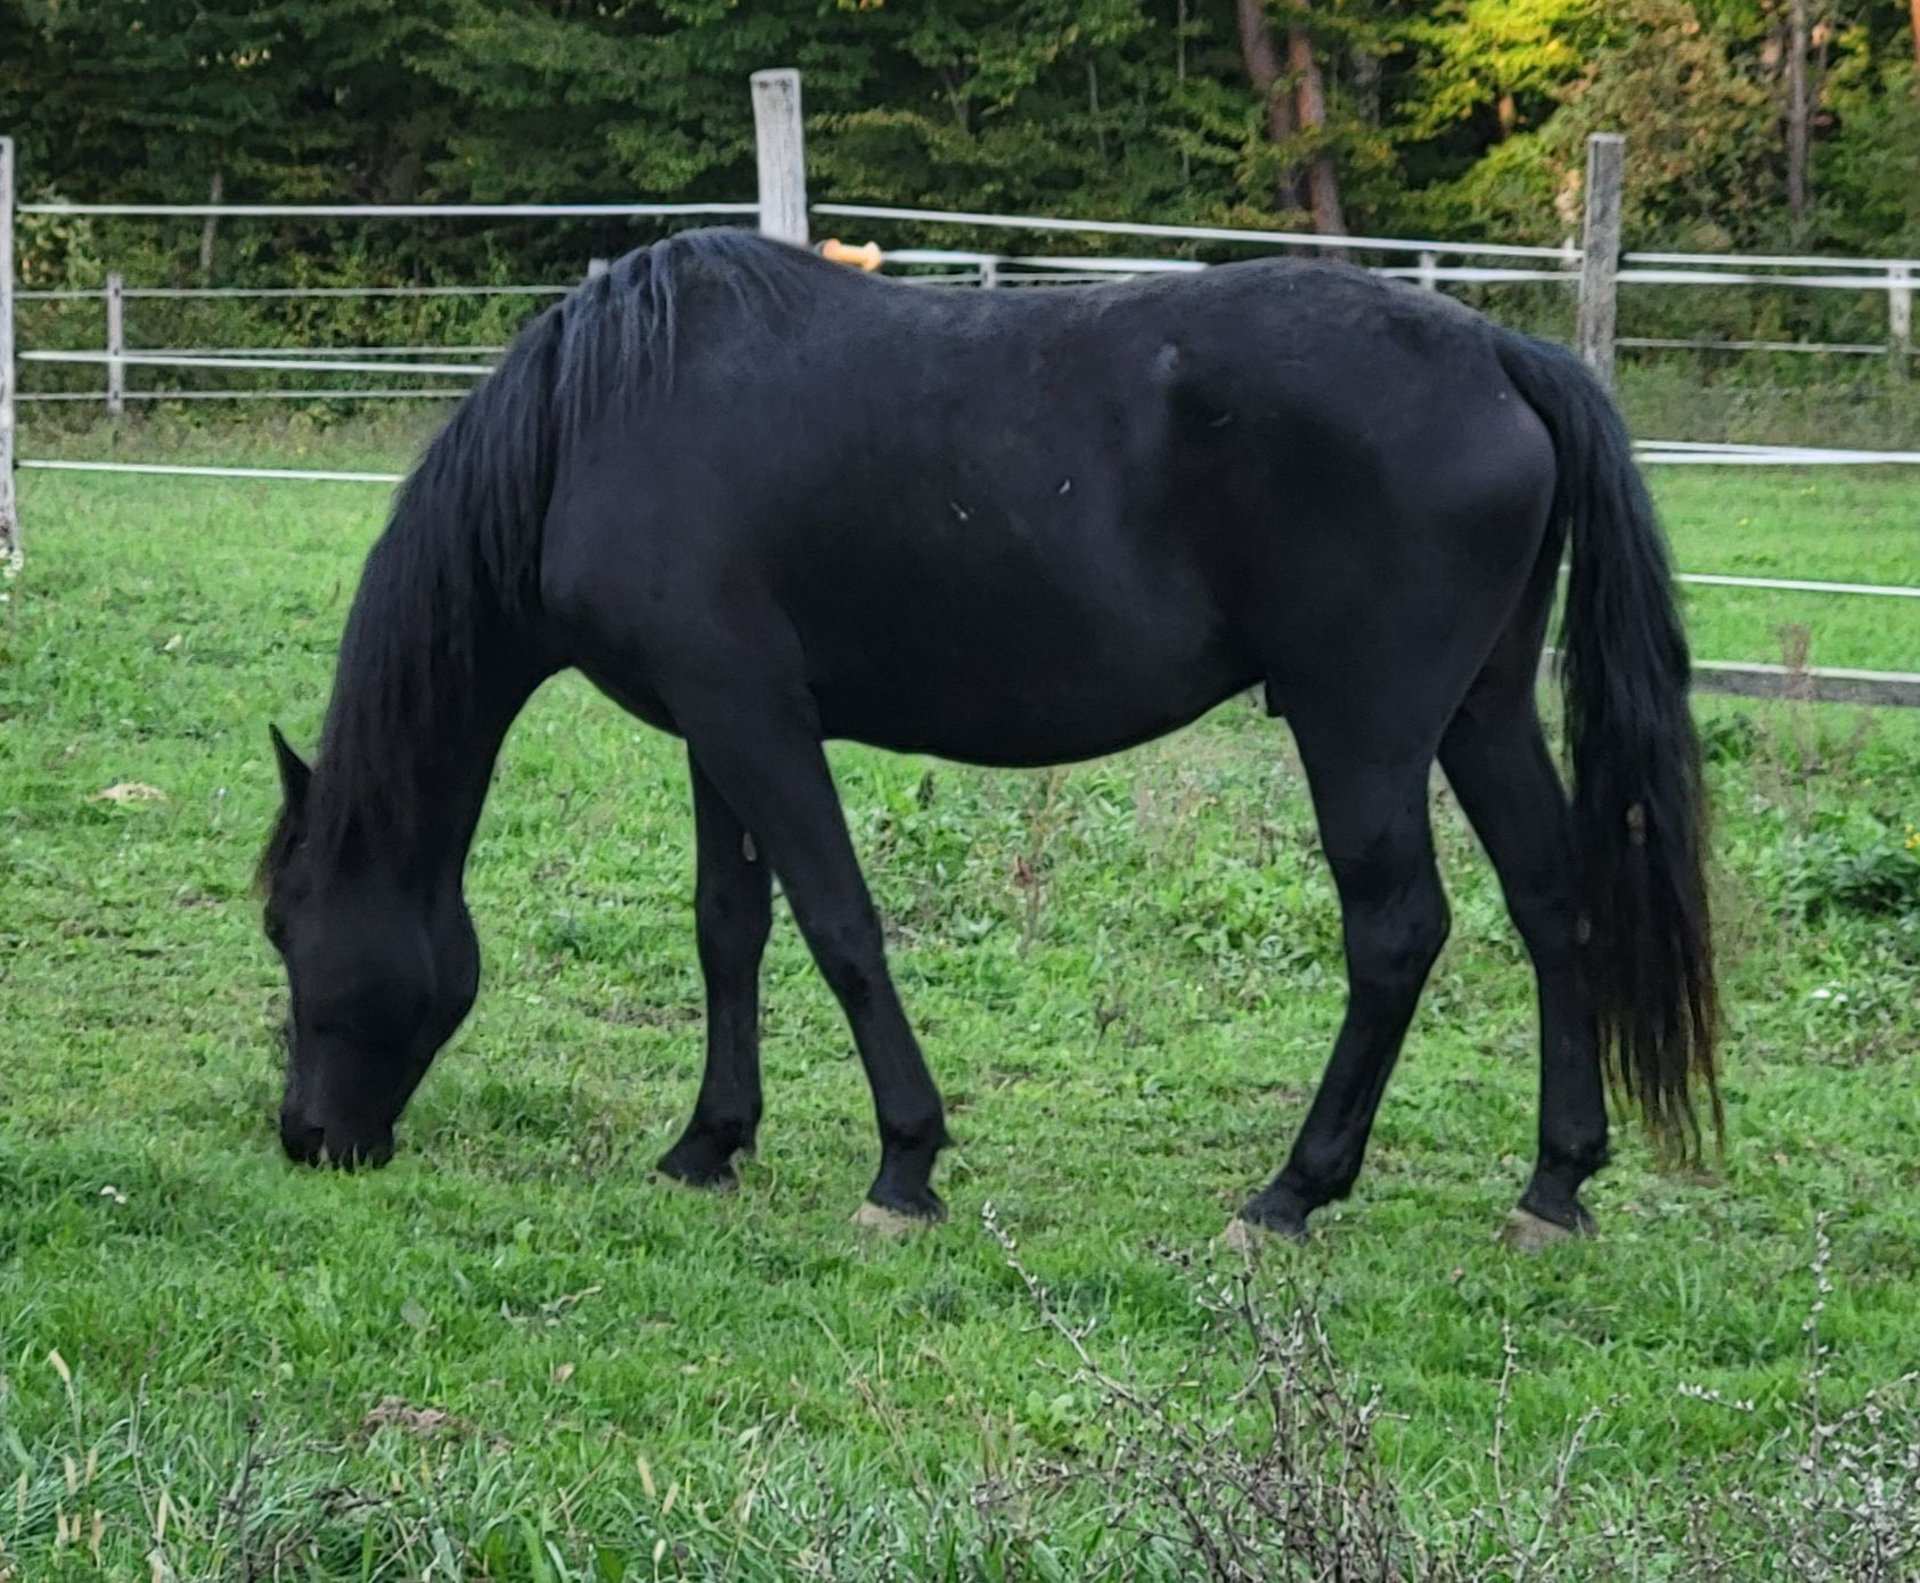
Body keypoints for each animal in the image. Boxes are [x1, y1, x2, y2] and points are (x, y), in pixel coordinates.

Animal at [258, 228, 1718, 1246]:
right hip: (1481, 709)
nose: (306, 1135)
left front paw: (904, 1163)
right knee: (1553, 901)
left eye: (287, 927)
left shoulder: (755, 717)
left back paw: (1293, 1190)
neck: (600, 423)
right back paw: (1554, 1182)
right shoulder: (709, 726)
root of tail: (1503, 356)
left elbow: (840, 924)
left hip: (1362, 729)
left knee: (1398, 931)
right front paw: (708, 1143)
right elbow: (729, 925)